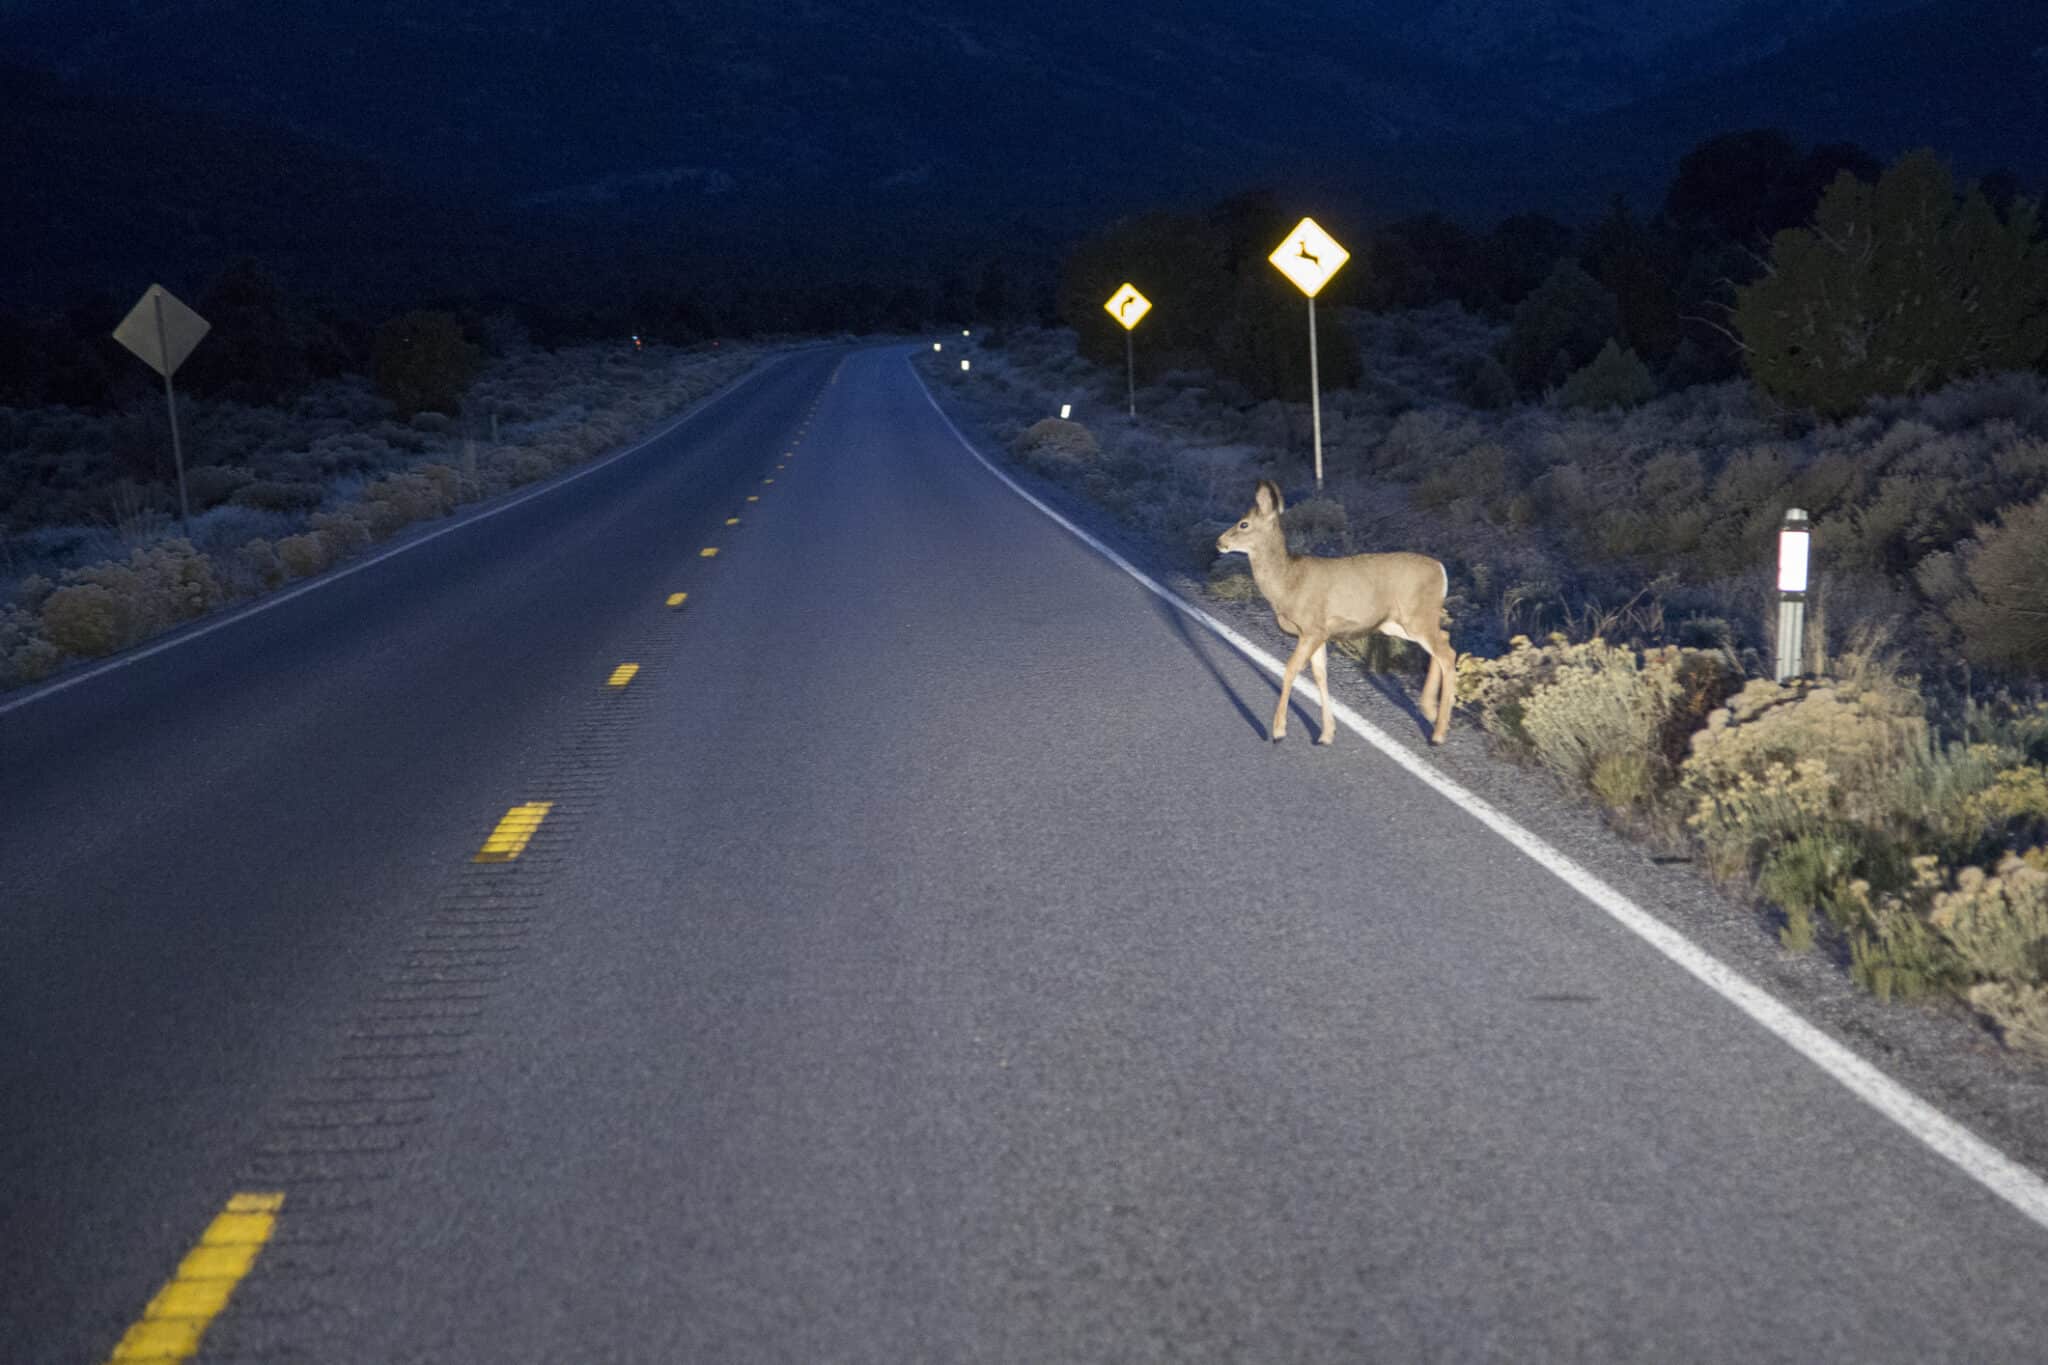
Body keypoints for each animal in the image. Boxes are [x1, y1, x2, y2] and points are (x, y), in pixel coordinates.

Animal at [1216, 479, 1456, 747]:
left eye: (1243, 524)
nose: (1219, 542)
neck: (1288, 582)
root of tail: (1441, 569)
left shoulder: (1311, 628)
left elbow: (1290, 669)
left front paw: (1278, 731)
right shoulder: (1321, 633)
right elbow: (1320, 675)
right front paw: (1326, 734)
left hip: (1417, 616)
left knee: (1447, 654)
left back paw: (1438, 733)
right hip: (1397, 623)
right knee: (1445, 640)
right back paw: (1430, 710)